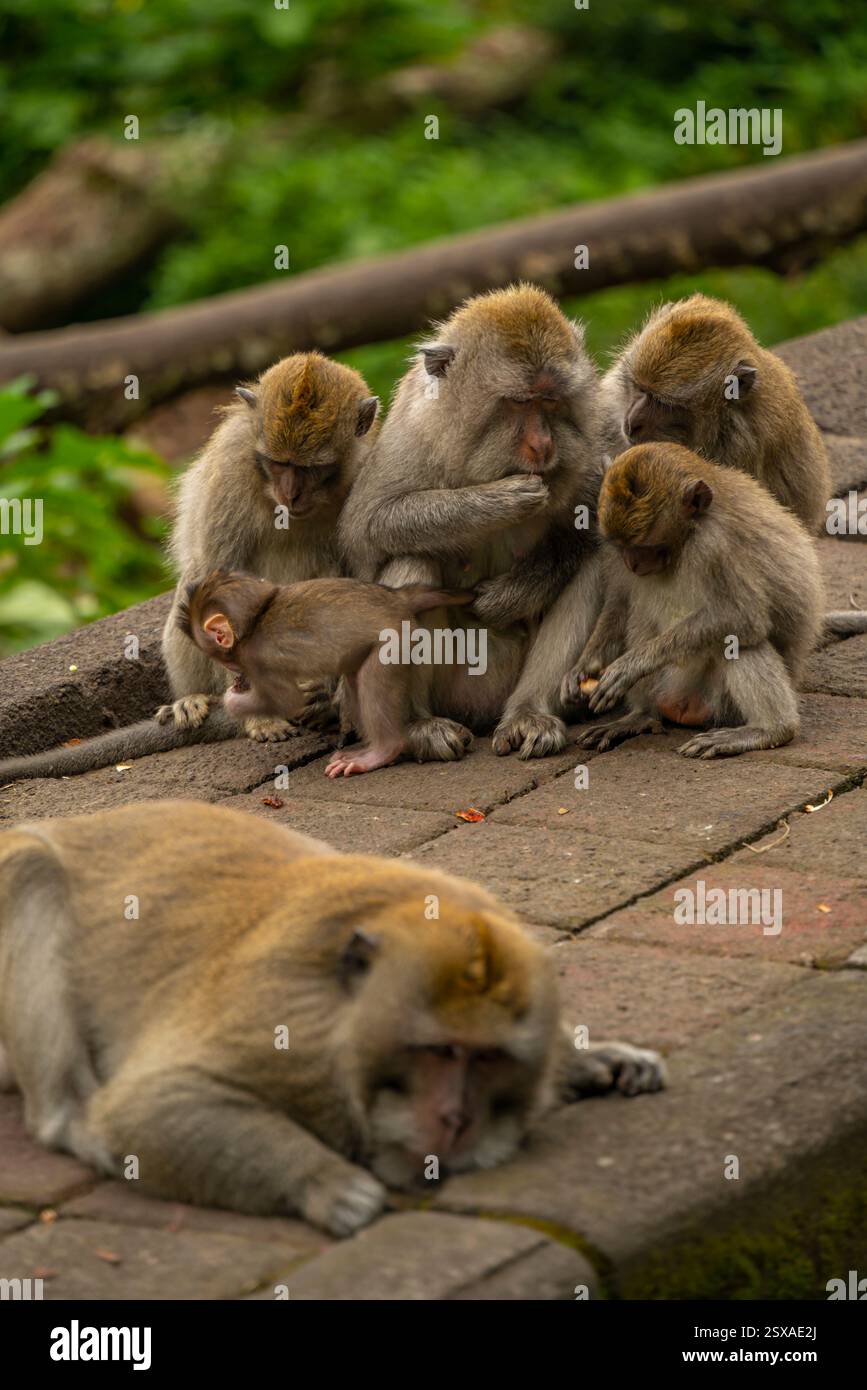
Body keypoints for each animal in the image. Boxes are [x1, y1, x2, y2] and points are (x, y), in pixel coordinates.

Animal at [0, 353, 380, 784]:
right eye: (276, 463)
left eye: (313, 469)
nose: (290, 494)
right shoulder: (233, 465)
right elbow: (215, 573)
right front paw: (261, 713)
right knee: (194, 584)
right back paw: (199, 699)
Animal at [0, 800, 666, 1236]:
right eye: (441, 1051)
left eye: (489, 1057)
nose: (456, 1120)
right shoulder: (287, 1030)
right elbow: (150, 1104)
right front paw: (331, 1185)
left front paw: (588, 1058)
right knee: (30, 871)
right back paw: (74, 1120)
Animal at [180, 570, 474, 777]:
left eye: (221, 659)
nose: (237, 676)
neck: (258, 615)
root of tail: (397, 597)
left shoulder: (258, 660)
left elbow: (286, 700)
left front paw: (232, 700)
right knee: (355, 675)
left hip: (396, 640)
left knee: (372, 677)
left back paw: (381, 752)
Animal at [338, 283, 605, 763]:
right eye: (518, 403)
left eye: (550, 401)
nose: (543, 444)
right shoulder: (411, 432)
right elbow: (369, 523)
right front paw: (503, 500)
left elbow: (590, 517)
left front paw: (513, 594)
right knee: (411, 564)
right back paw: (415, 729)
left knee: (591, 565)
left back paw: (528, 714)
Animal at [561, 443, 824, 758]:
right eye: (622, 546)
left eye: (647, 546)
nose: (633, 564)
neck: (685, 539)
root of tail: (682, 707)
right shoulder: (612, 552)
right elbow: (620, 603)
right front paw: (584, 667)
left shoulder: (714, 545)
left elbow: (744, 617)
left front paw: (632, 665)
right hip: (671, 684)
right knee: (640, 612)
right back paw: (640, 715)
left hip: (720, 704)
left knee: (738, 640)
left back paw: (770, 729)